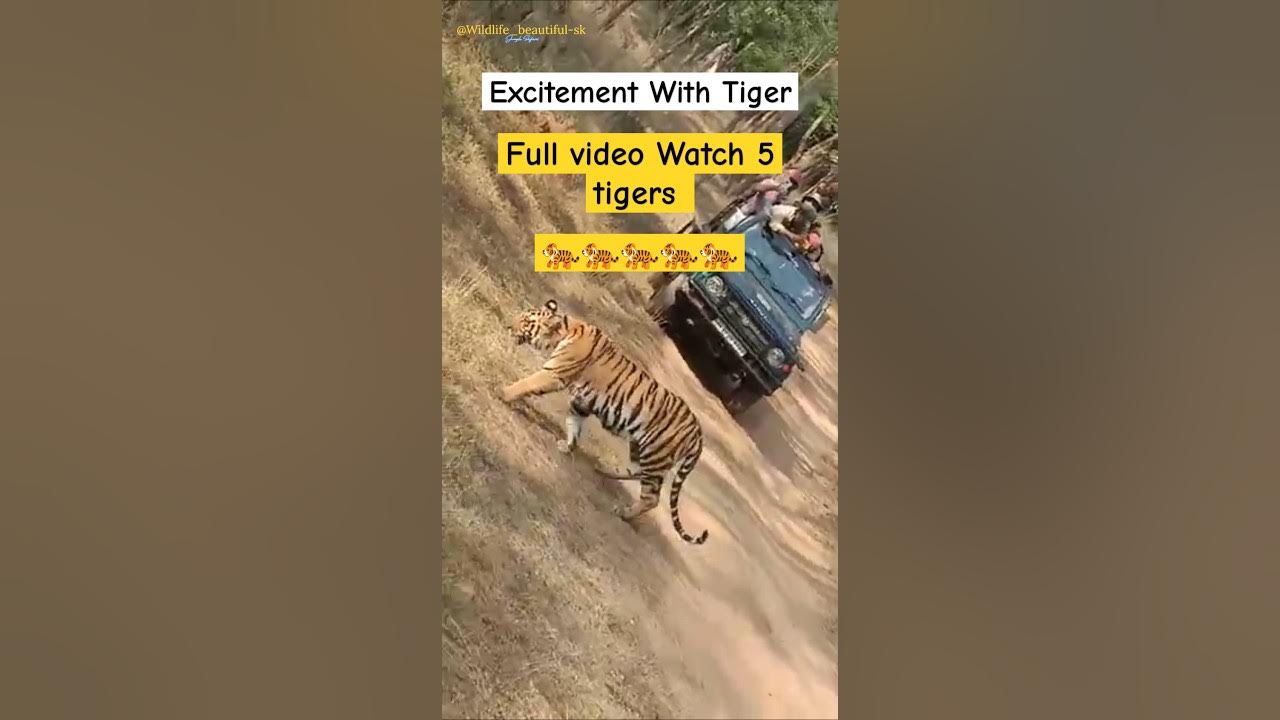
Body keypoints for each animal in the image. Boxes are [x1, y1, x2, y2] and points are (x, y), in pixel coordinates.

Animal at [502, 299, 709, 545]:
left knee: (652, 497)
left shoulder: (552, 375)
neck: (565, 331)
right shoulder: (581, 402)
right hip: (641, 449)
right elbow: (574, 424)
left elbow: (525, 384)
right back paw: (605, 470)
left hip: (655, 453)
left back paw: (623, 512)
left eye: (525, 322)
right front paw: (567, 447)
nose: (508, 326)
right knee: (641, 474)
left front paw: (503, 392)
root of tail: (697, 432)